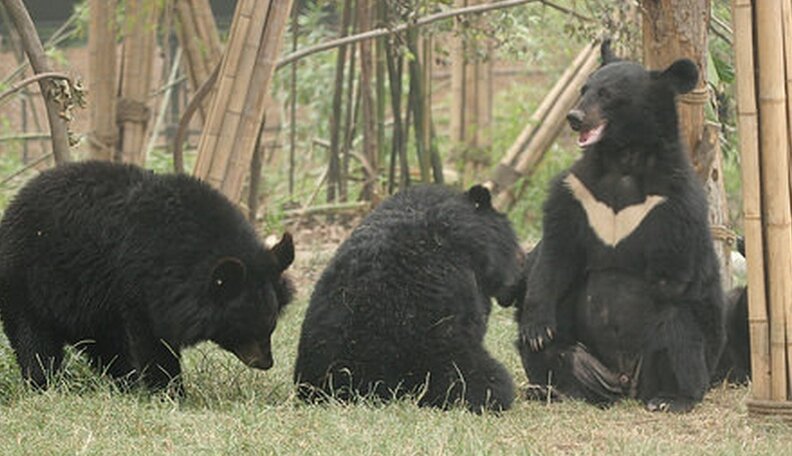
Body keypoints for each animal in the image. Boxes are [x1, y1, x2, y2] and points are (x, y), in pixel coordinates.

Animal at [0, 160, 295, 393]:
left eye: (271, 326)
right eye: (243, 327)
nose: (265, 363)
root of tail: (13, 205)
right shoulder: (142, 286)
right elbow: (153, 341)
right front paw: (171, 391)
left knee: (105, 346)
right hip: (28, 283)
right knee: (34, 339)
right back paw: (44, 384)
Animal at [515, 41, 727, 413]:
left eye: (608, 94)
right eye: (583, 89)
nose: (574, 117)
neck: (622, 159)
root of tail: (624, 382)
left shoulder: (677, 203)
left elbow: (675, 271)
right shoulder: (577, 193)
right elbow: (556, 257)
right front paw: (537, 330)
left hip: (676, 356)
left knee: (681, 331)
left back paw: (672, 399)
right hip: (583, 354)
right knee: (557, 353)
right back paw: (551, 387)